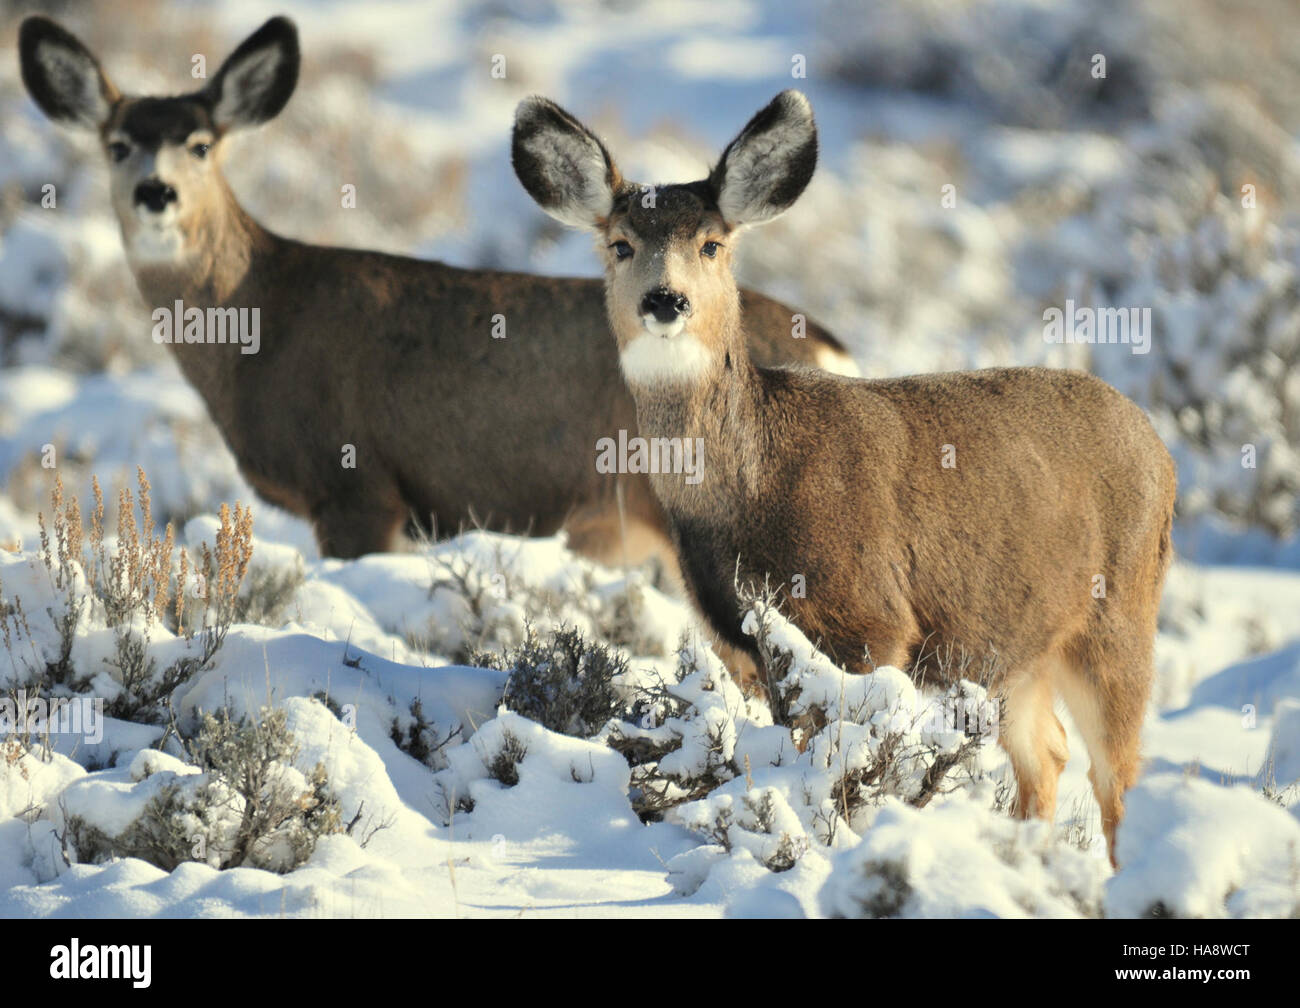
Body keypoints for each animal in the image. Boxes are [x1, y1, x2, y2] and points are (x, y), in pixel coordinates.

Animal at [16, 16, 856, 570]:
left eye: (200, 144)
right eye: (117, 144)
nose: (155, 193)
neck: (261, 319)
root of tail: (834, 352)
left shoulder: (356, 486)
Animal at [512, 89, 1177, 863]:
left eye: (712, 243)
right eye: (619, 243)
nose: (665, 301)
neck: (752, 486)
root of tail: (1161, 451)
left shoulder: (871, 618)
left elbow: (842, 763)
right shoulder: (740, 634)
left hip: (1119, 613)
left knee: (1118, 775)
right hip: (1017, 647)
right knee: (1048, 757)